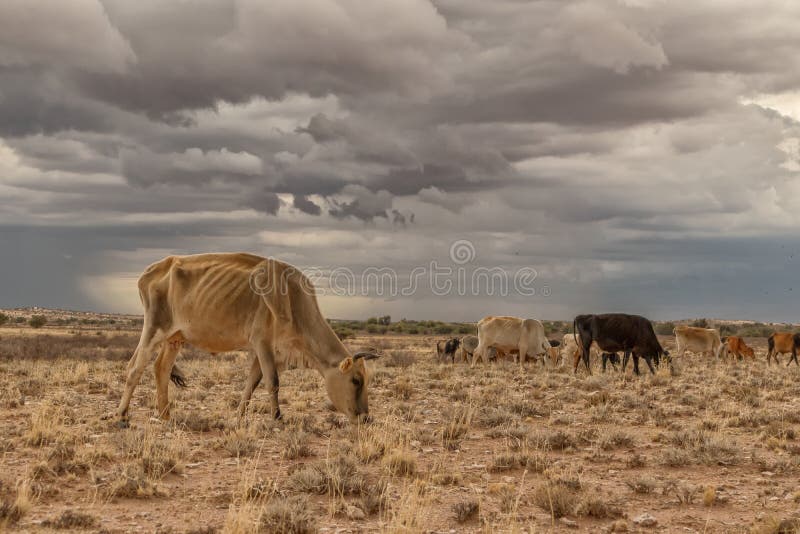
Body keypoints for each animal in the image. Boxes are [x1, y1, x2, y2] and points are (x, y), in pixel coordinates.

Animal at [111, 253, 379, 426]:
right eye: (356, 380)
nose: (365, 418)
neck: (292, 299)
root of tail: (149, 272)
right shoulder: (262, 344)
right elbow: (273, 382)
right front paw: (277, 418)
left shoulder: (268, 351)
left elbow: (252, 382)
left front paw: (240, 416)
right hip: (154, 328)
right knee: (135, 367)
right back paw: (122, 415)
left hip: (175, 338)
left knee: (161, 369)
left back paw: (165, 415)